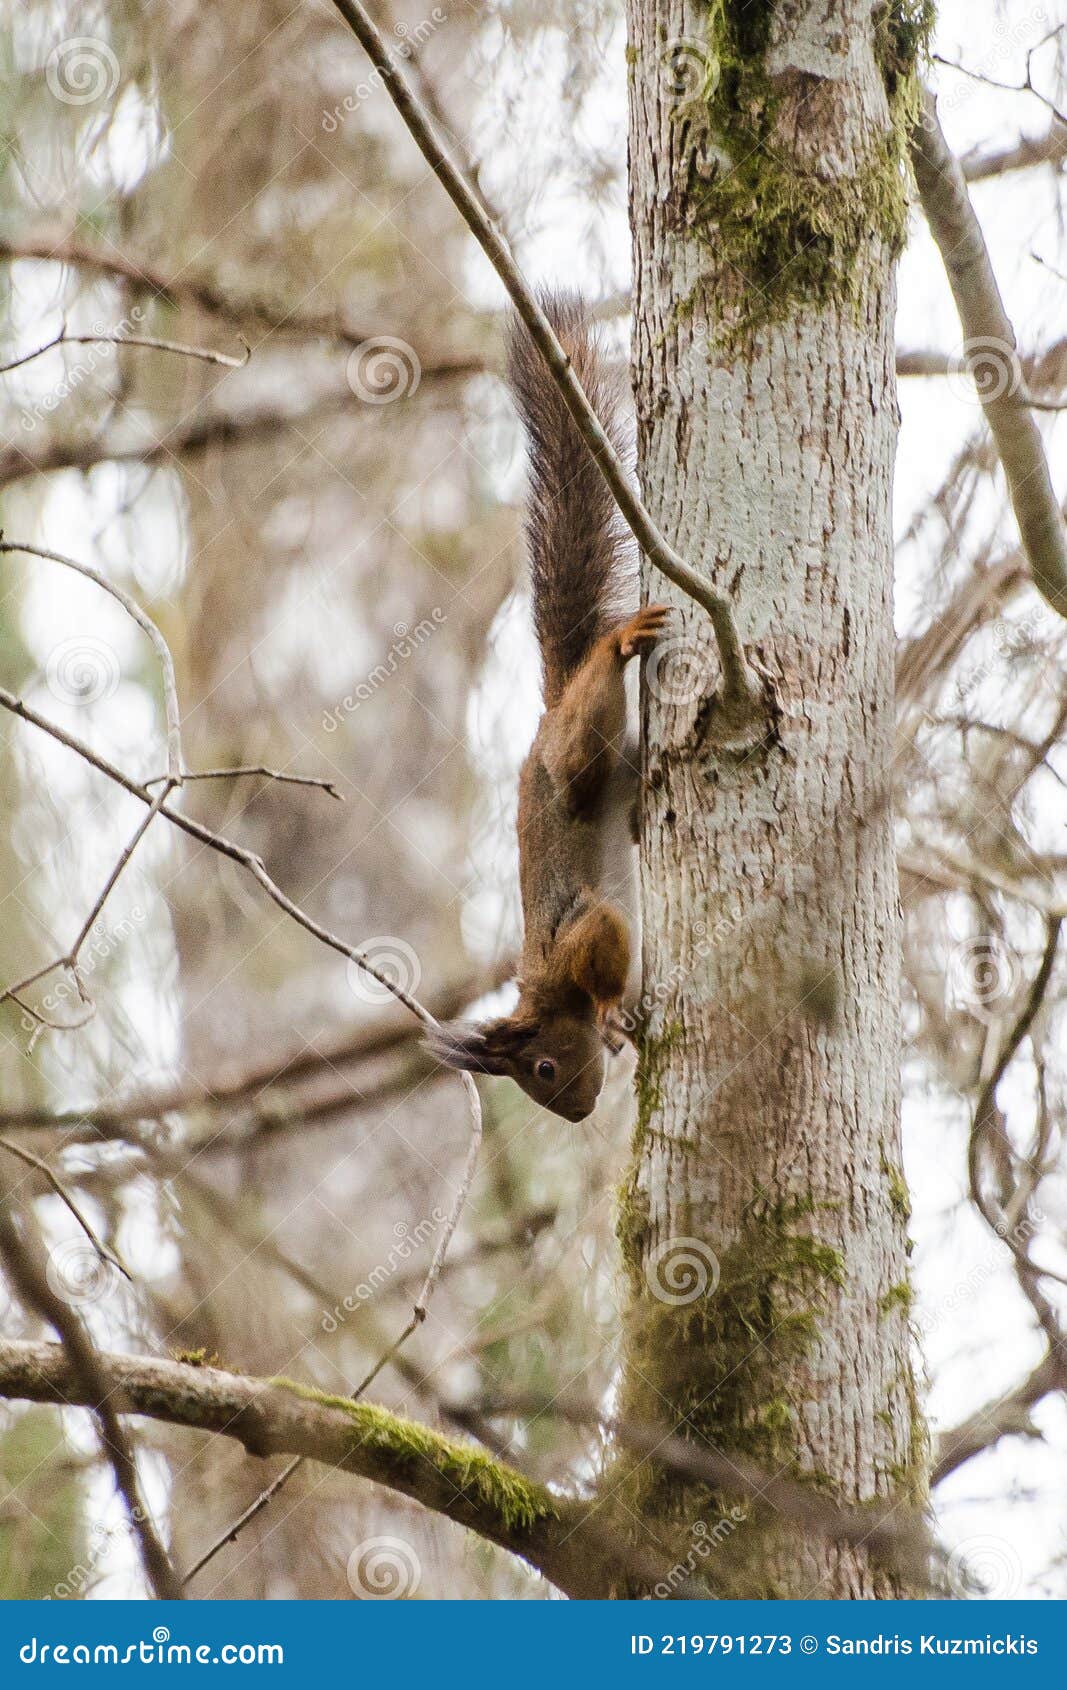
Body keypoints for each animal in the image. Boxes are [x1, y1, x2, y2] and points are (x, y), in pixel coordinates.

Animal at [427, 293, 667, 1122]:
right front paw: (618, 1029)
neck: (546, 994)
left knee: (591, 709)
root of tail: (545, 721)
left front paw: (608, 1013)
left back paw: (618, 642)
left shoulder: (576, 937)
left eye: (539, 1069)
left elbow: (601, 944)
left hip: (572, 754)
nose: (580, 1113)